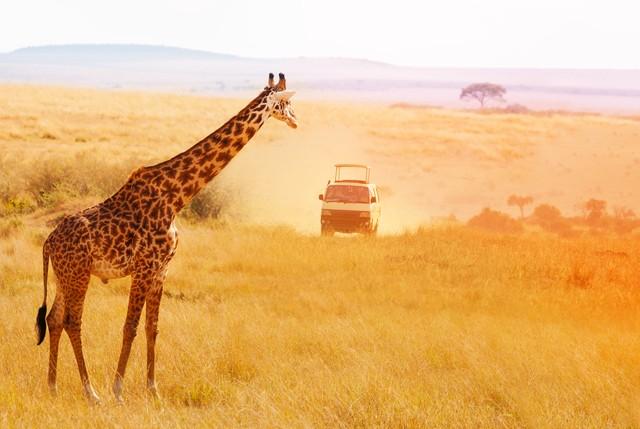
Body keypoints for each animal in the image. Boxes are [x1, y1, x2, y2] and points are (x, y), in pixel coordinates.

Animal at [34, 73, 297, 403]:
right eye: (286, 102)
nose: (296, 121)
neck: (176, 197)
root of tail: (48, 242)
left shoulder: (161, 269)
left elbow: (152, 328)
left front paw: (153, 389)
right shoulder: (144, 266)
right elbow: (130, 327)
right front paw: (118, 391)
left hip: (64, 276)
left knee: (54, 319)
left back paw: (53, 387)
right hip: (79, 274)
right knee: (72, 321)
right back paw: (91, 392)